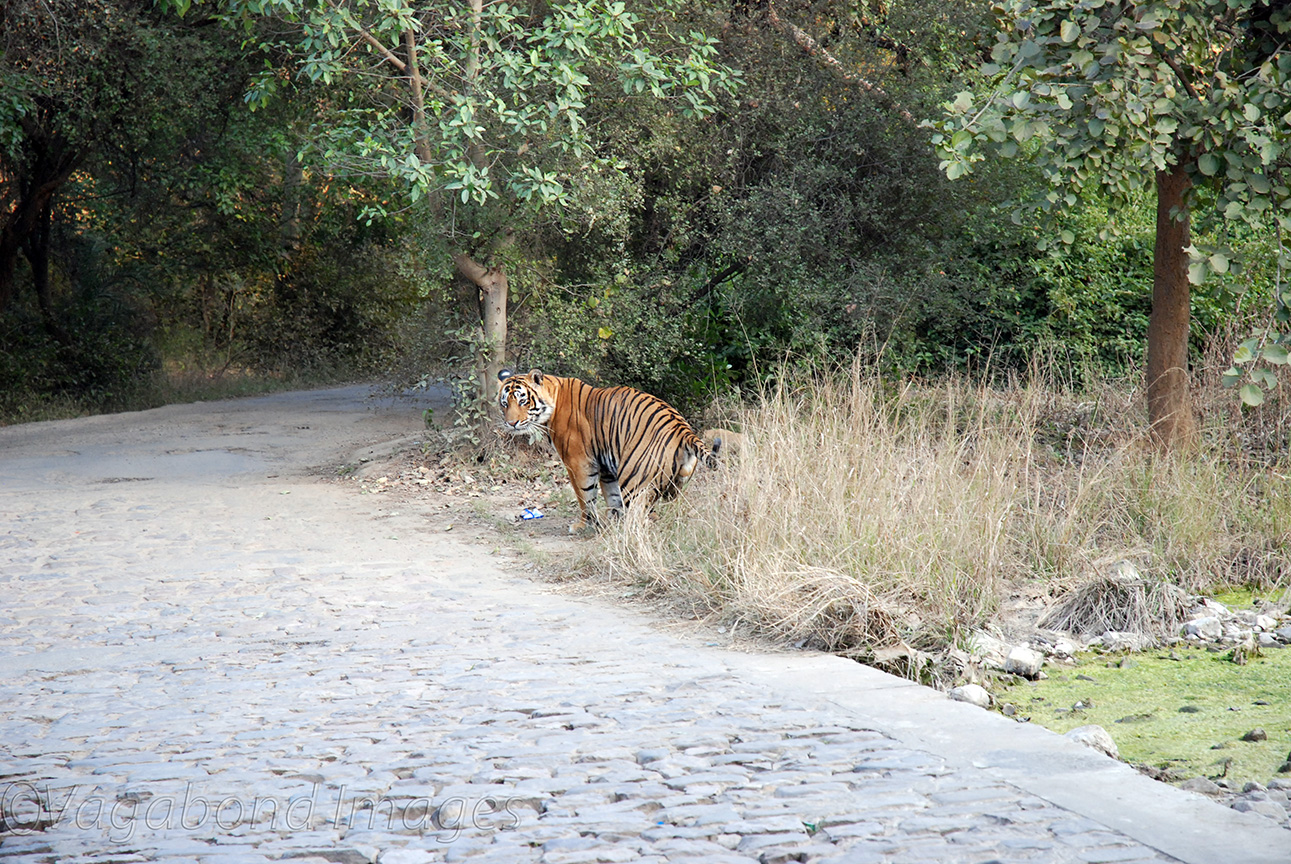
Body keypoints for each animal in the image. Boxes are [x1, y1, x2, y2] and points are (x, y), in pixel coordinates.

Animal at [497, 368, 715, 534]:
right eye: (505, 403)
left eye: (523, 401)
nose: (511, 423)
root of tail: (683, 429)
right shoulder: (607, 467)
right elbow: (612, 498)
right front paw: (612, 522)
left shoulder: (578, 462)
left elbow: (584, 496)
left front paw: (583, 525)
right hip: (669, 484)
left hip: (633, 478)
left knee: (639, 517)